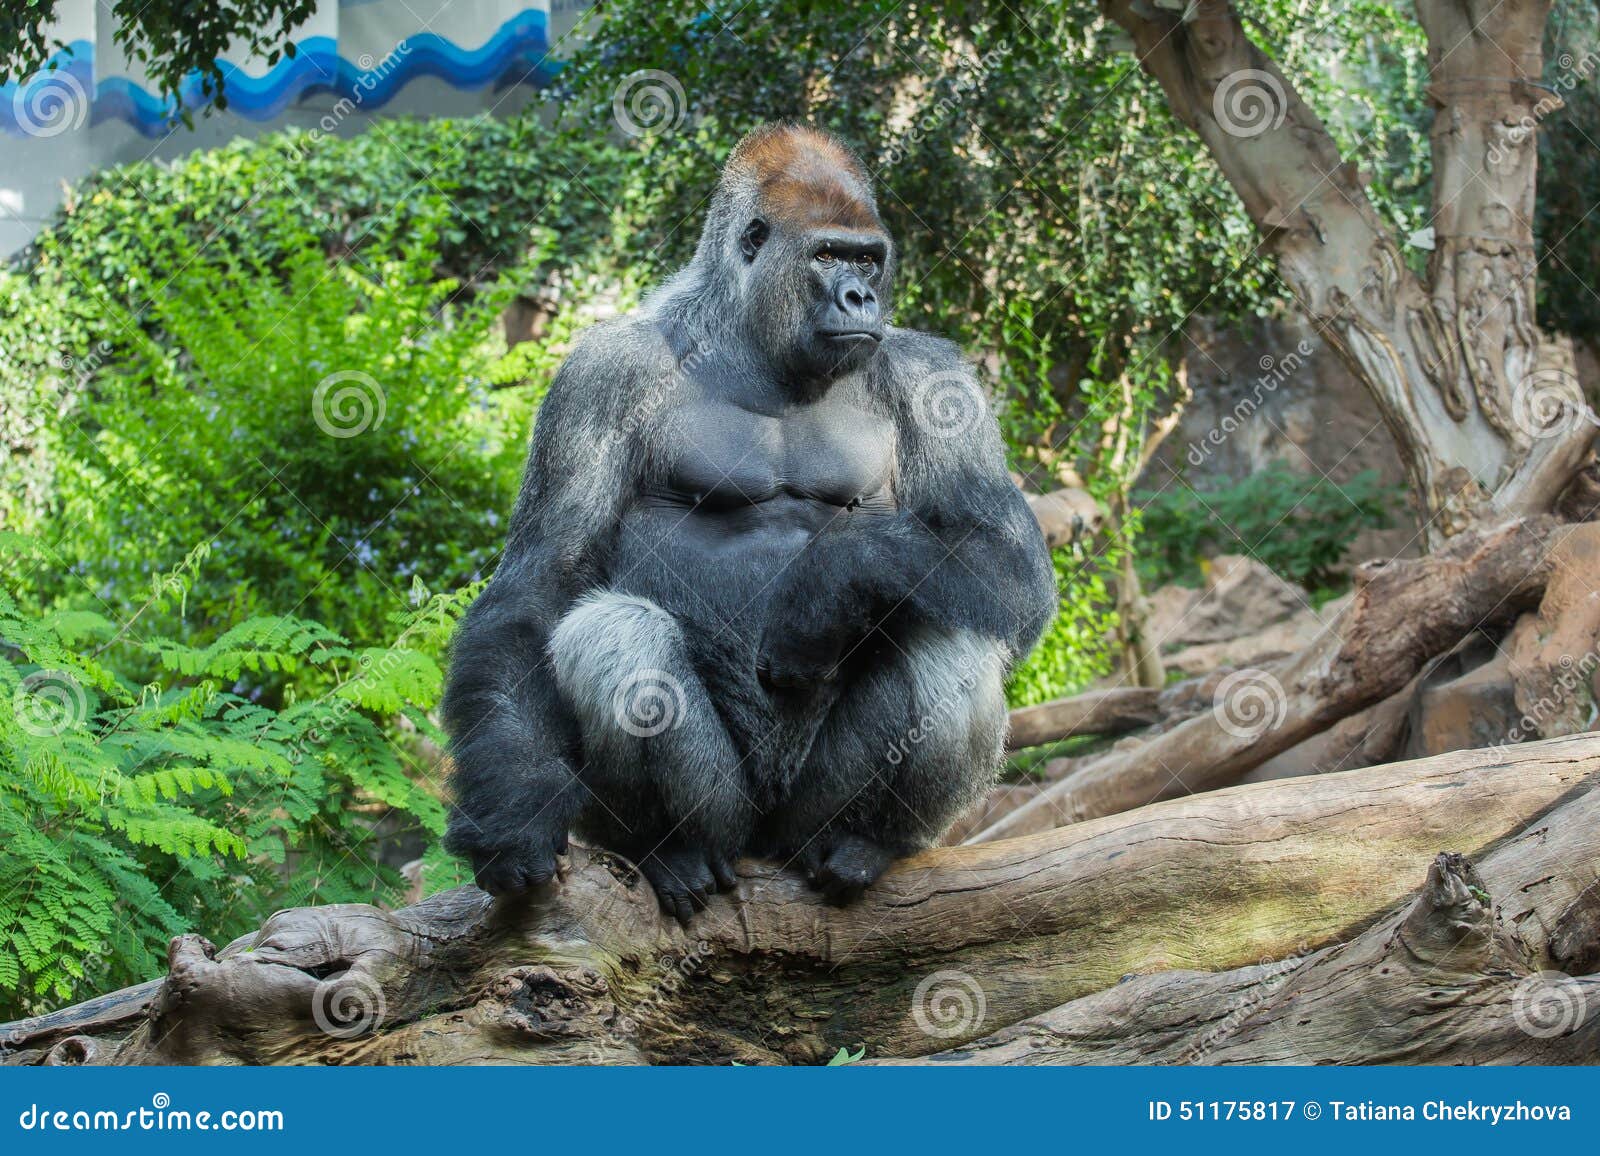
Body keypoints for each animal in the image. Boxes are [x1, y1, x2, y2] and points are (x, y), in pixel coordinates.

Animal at [442, 124, 1056, 923]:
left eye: (868, 258)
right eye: (826, 256)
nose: (860, 296)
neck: (749, 336)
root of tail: (766, 844)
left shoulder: (935, 376)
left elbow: (1006, 558)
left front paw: (828, 584)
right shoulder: (597, 374)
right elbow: (544, 582)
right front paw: (514, 811)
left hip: (807, 817)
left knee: (948, 628)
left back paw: (867, 842)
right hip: (730, 821)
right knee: (615, 634)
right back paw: (668, 850)